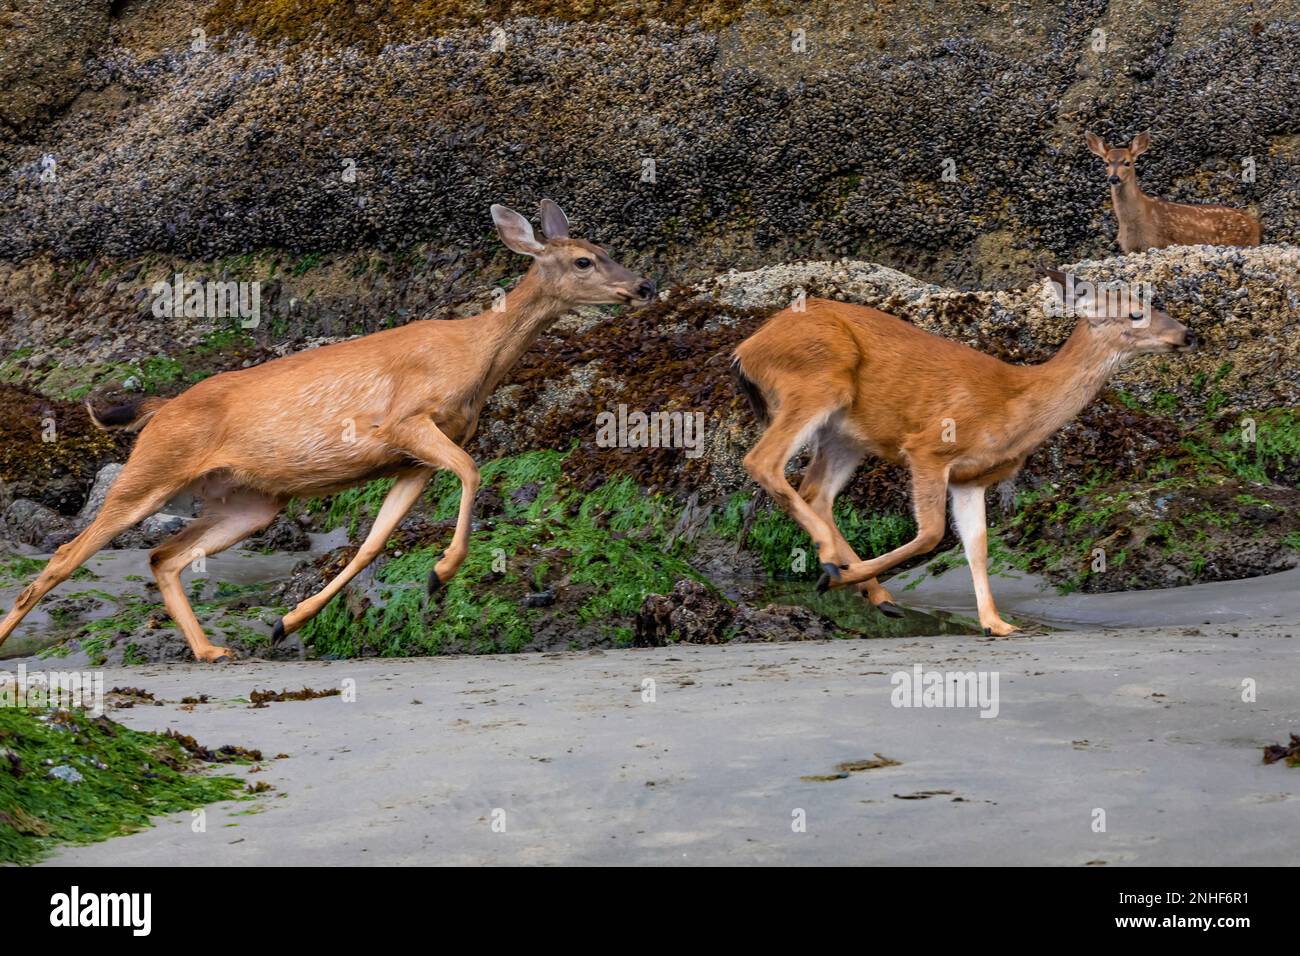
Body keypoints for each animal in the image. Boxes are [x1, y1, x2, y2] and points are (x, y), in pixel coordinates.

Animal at [0, 200, 655, 663]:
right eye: (583, 260)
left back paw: (212, 649)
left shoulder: (408, 462)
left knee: (163, 556)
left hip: (250, 502)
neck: (474, 359)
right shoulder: (403, 422)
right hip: (153, 468)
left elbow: (372, 544)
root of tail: (160, 407)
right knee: (67, 554)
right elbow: (470, 471)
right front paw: (442, 573)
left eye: (604, 249)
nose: (645, 286)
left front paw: (286, 622)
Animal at [731, 270, 1194, 636]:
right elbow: (933, 534)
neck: (1014, 402)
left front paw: (997, 624)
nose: (1186, 335)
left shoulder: (972, 479)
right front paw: (835, 580)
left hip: (845, 434)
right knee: (762, 461)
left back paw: (873, 592)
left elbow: (978, 546)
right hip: (815, 383)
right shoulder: (929, 447)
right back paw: (835, 567)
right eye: (1134, 312)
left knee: (816, 493)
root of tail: (744, 350)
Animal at [1085, 131, 1261, 252]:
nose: (1114, 178)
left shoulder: (1154, 242)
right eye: (1106, 163)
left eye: (1127, 162)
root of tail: (1255, 225)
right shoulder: (1129, 247)